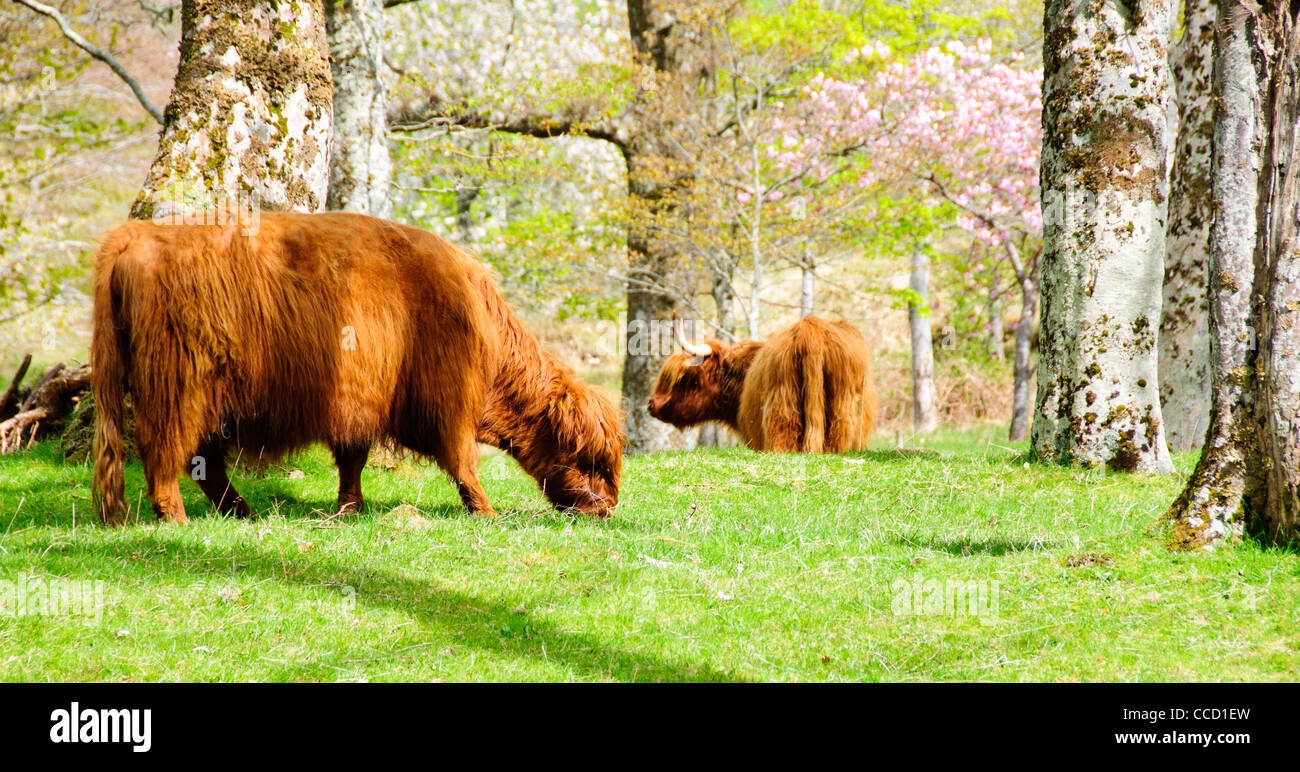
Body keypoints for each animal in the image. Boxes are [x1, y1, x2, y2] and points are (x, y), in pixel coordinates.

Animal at [91, 211, 622, 525]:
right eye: (594, 461)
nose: (609, 508)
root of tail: (137, 235)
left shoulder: (361, 400)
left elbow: (353, 459)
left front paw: (350, 507)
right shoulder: (446, 399)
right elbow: (463, 461)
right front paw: (486, 511)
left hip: (207, 400)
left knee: (205, 464)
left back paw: (241, 511)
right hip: (180, 389)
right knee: (165, 452)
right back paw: (177, 518)